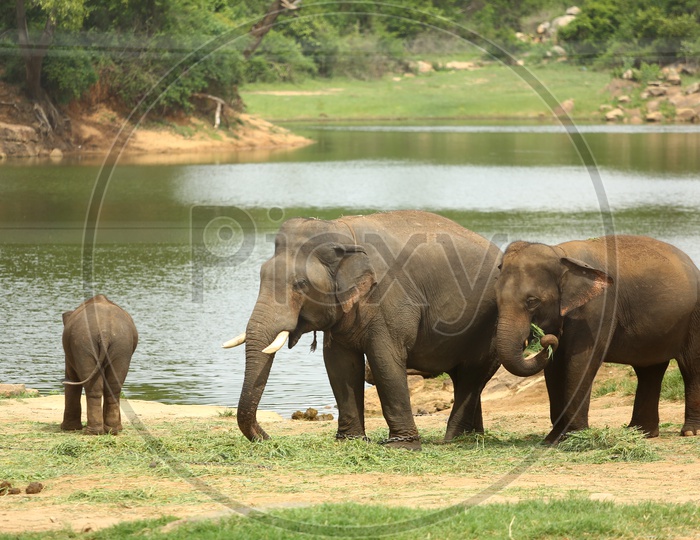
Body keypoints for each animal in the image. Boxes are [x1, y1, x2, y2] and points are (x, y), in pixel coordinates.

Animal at [61, 295, 138, 435]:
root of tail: (105, 332)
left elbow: (71, 377)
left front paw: (68, 428)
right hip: (120, 346)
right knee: (113, 386)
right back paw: (112, 430)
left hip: (86, 344)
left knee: (94, 387)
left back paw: (94, 432)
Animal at [223, 210, 502, 450]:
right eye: (261, 275)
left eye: (300, 284)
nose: (267, 438)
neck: (342, 233)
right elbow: (340, 365)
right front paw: (350, 441)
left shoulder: (389, 299)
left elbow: (384, 361)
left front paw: (401, 446)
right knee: (465, 378)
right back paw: (473, 437)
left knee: (471, 376)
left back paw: (455, 439)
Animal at [494, 235, 700, 443]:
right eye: (497, 300)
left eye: (532, 301)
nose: (545, 340)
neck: (560, 254)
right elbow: (553, 368)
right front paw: (552, 439)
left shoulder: (596, 310)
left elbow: (581, 363)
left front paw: (575, 435)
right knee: (649, 370)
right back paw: (640, 432)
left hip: (694, 318)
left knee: (691, 367)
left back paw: (690, 431)